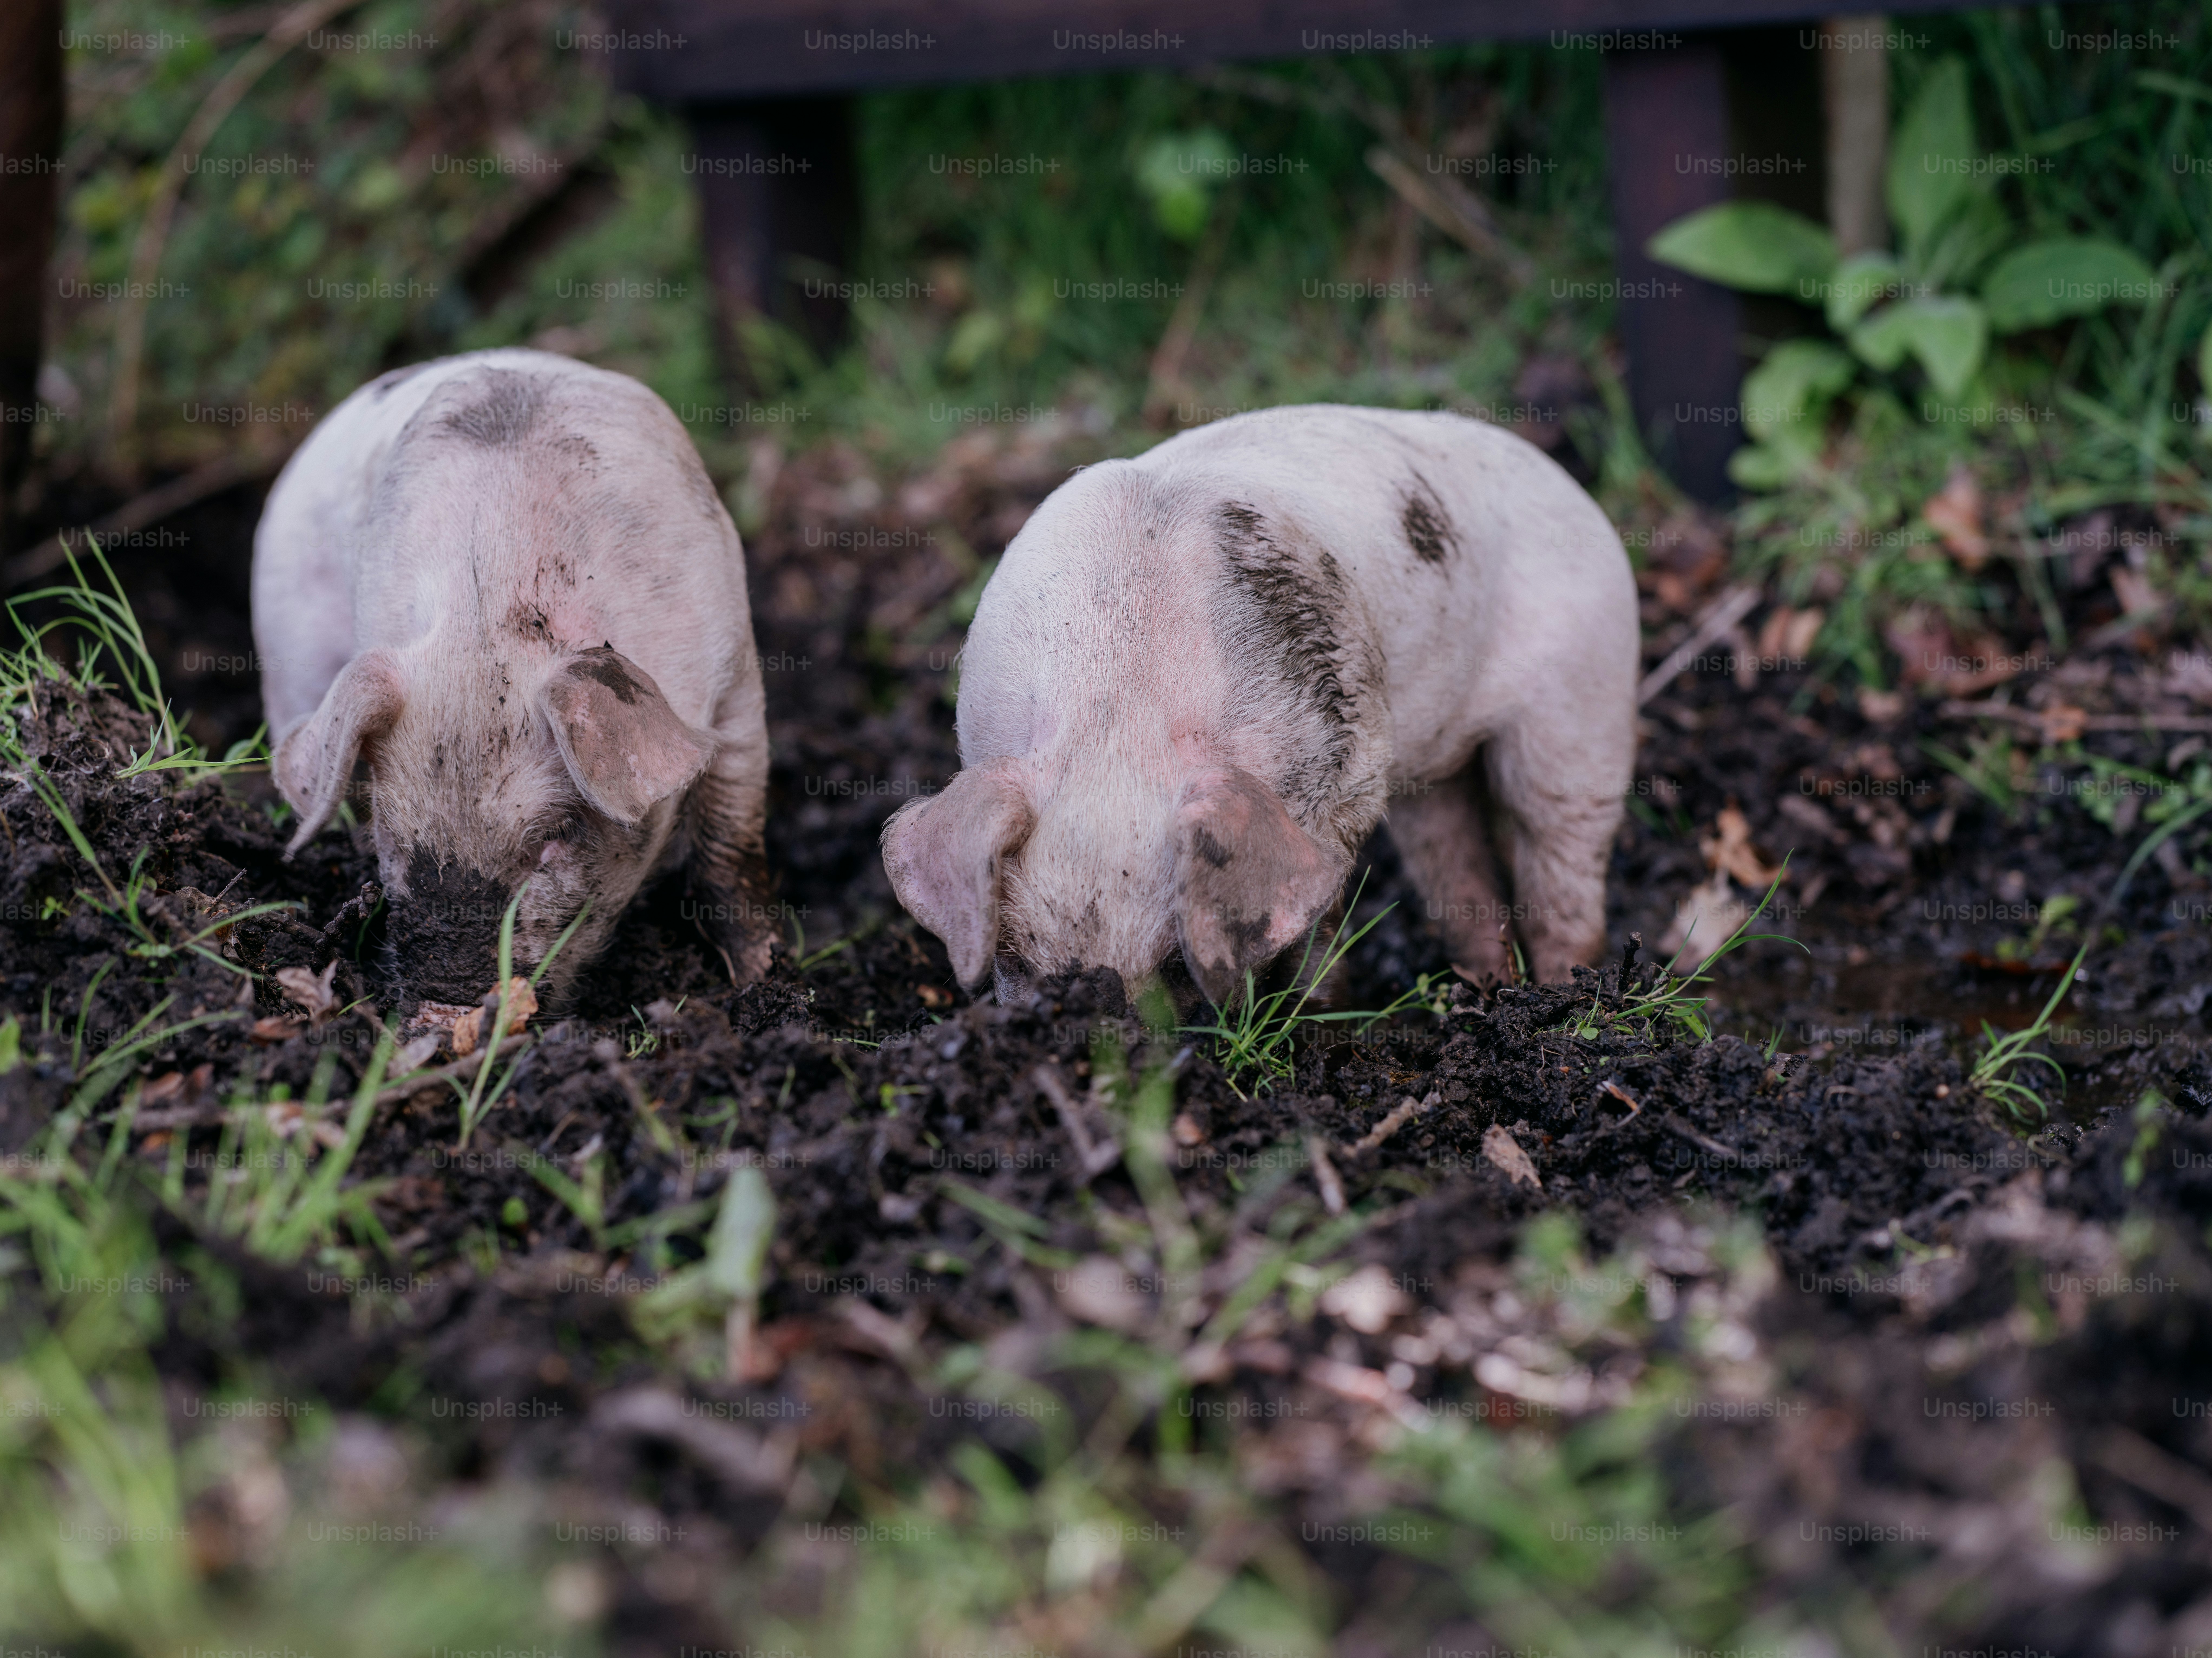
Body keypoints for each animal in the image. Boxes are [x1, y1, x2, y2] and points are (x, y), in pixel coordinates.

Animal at [251, 348, 772, 1007]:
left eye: (556, 836)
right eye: (389, 832)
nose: (445, 1007)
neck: (493, 619)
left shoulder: (735, 672)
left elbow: (732, 835)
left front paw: (760, 972)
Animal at [881, 404, 1638, 1006]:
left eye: (1176, 965)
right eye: (1010, 954)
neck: (1115, 719)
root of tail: (1577, 493)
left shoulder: (1344, 773)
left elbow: (1317, 920)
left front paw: (1311, 1015)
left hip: (1585, 692)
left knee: (1560, 840)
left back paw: (1559, 991)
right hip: (1434, 762)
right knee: (1448, 844)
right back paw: (1485, 986)